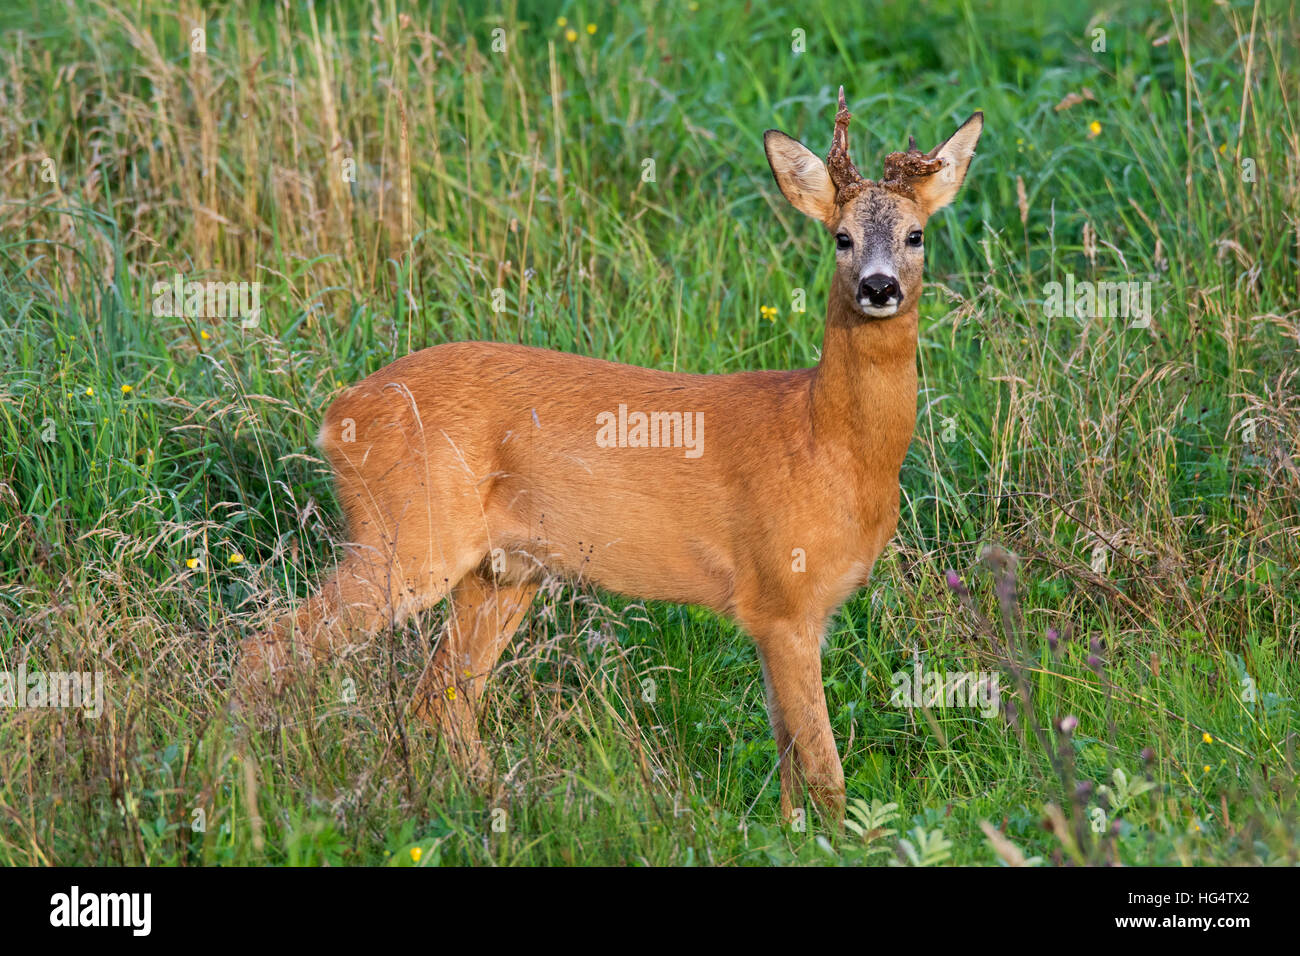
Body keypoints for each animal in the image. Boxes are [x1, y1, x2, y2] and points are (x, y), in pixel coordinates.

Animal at [236, 89, 982, 826]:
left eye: (916, 235)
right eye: (841, 237)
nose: (880, 287)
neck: (828, 443)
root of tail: (337, 415)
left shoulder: (791, 616)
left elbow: (789, 764)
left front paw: (793, 837)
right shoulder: (783, 598)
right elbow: (823, 769)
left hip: (502, 572)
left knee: (443, 698)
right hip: (406, 538)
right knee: (265, 650)